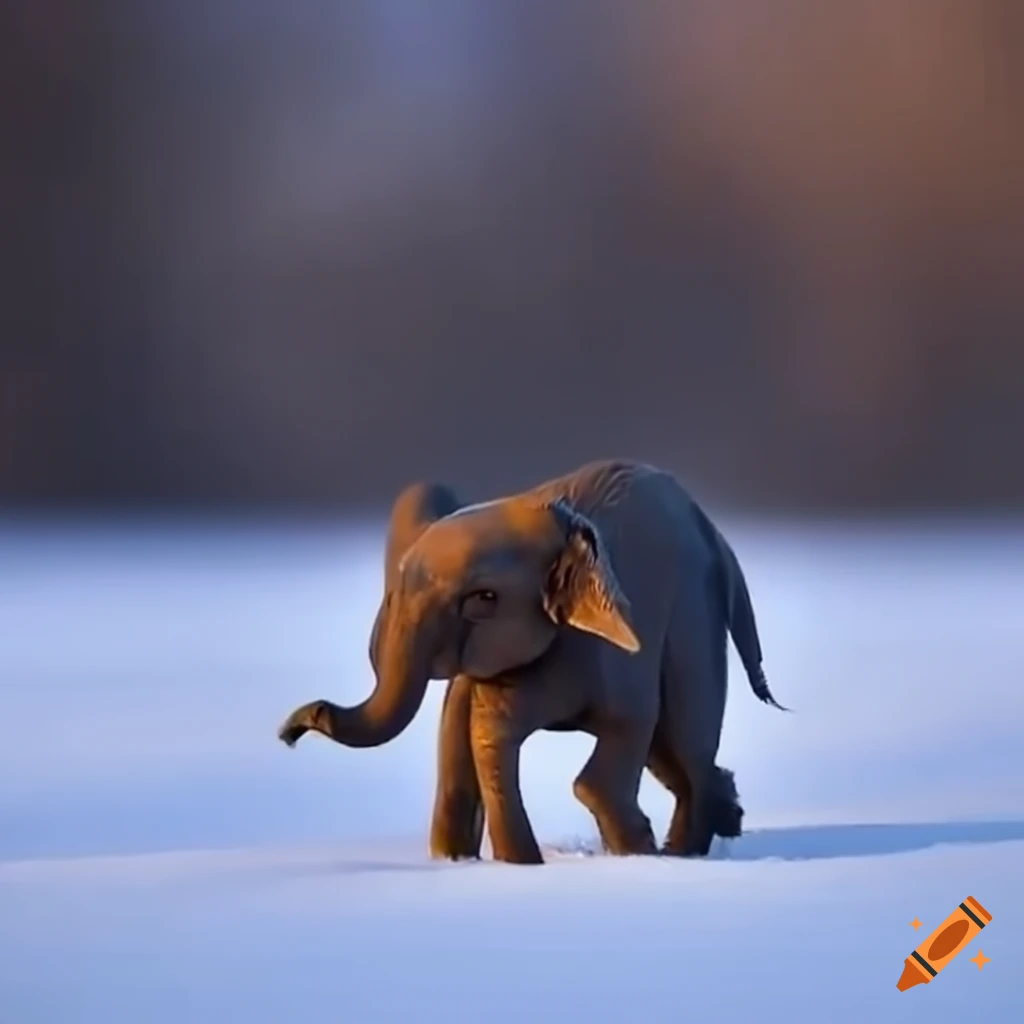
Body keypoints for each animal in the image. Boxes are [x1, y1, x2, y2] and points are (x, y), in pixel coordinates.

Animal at [278, 460, 787, 865]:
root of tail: (711, 529)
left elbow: (619, 735)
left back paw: (691, 846)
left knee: (685, 740)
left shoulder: (618, 644)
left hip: (693, 615)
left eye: (483, 599)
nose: (292, 731)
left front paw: (635, 854)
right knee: (674, 754)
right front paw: (518, 866)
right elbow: (488, 734)